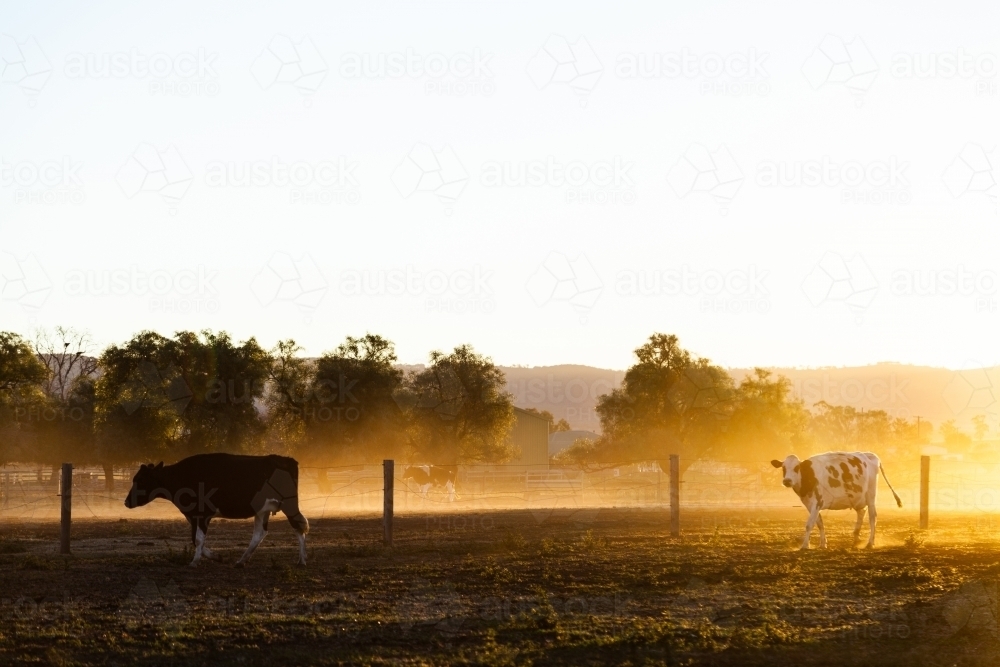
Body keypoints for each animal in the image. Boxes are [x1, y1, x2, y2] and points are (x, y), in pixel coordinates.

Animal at [124, 453, 309, 567]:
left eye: (141, 479)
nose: (126, 502)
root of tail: (287, 460)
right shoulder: (193, 515)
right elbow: (195, 539)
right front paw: (217, 557)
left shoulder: (203, 513)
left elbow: (198, 539)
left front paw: (195, 561)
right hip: (262, 510)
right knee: (260, 533)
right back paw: (241, 561)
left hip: (289, 504)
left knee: (298, 527)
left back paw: (302, 560)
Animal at [771, 452, 902, 550]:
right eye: (783, 468)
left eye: (797, 468)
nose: (787, 481)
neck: (808, 476)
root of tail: (871, 455)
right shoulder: (810, 504)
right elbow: (819, 523)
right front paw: (822, 544)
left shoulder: (817, 502)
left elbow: (809, 524)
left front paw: (804, 545)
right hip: (858, 498)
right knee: (861, 513)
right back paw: (856, 539)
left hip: (871, 497)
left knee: (872, 518)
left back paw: (870, 543)